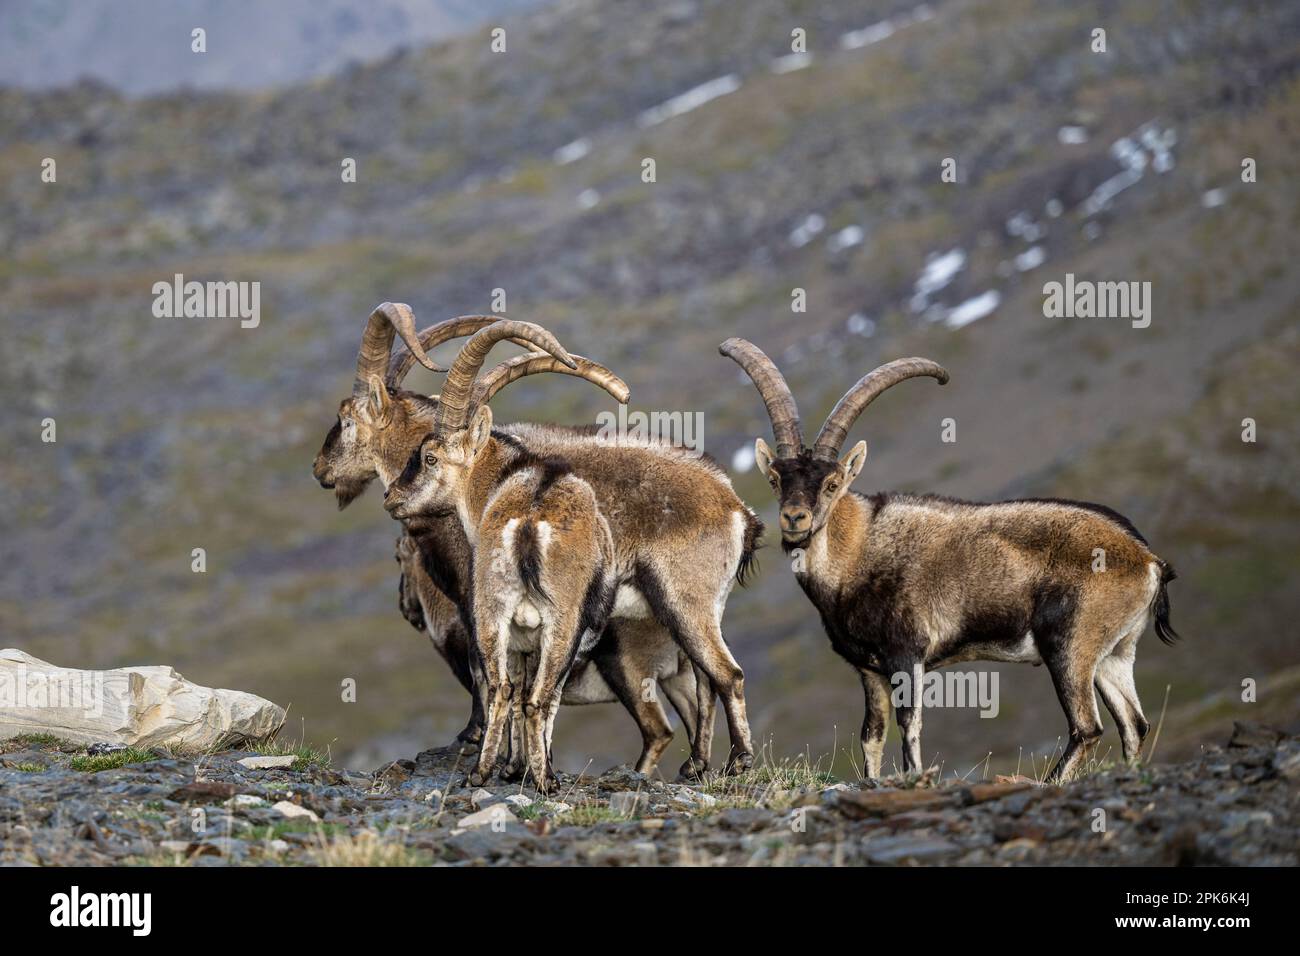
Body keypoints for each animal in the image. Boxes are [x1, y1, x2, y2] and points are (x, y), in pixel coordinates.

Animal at [721, 338, 1178, 784]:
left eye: (832, 483)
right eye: (776, 479)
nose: (794, 518)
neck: (856, 554)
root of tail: (1147, 560)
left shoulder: (907, 653)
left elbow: (909, 725)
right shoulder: (869, 669)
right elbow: (871, 735)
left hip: (1070, 645)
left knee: (1087, 727)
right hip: (1114, 654)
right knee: (1133, 724)